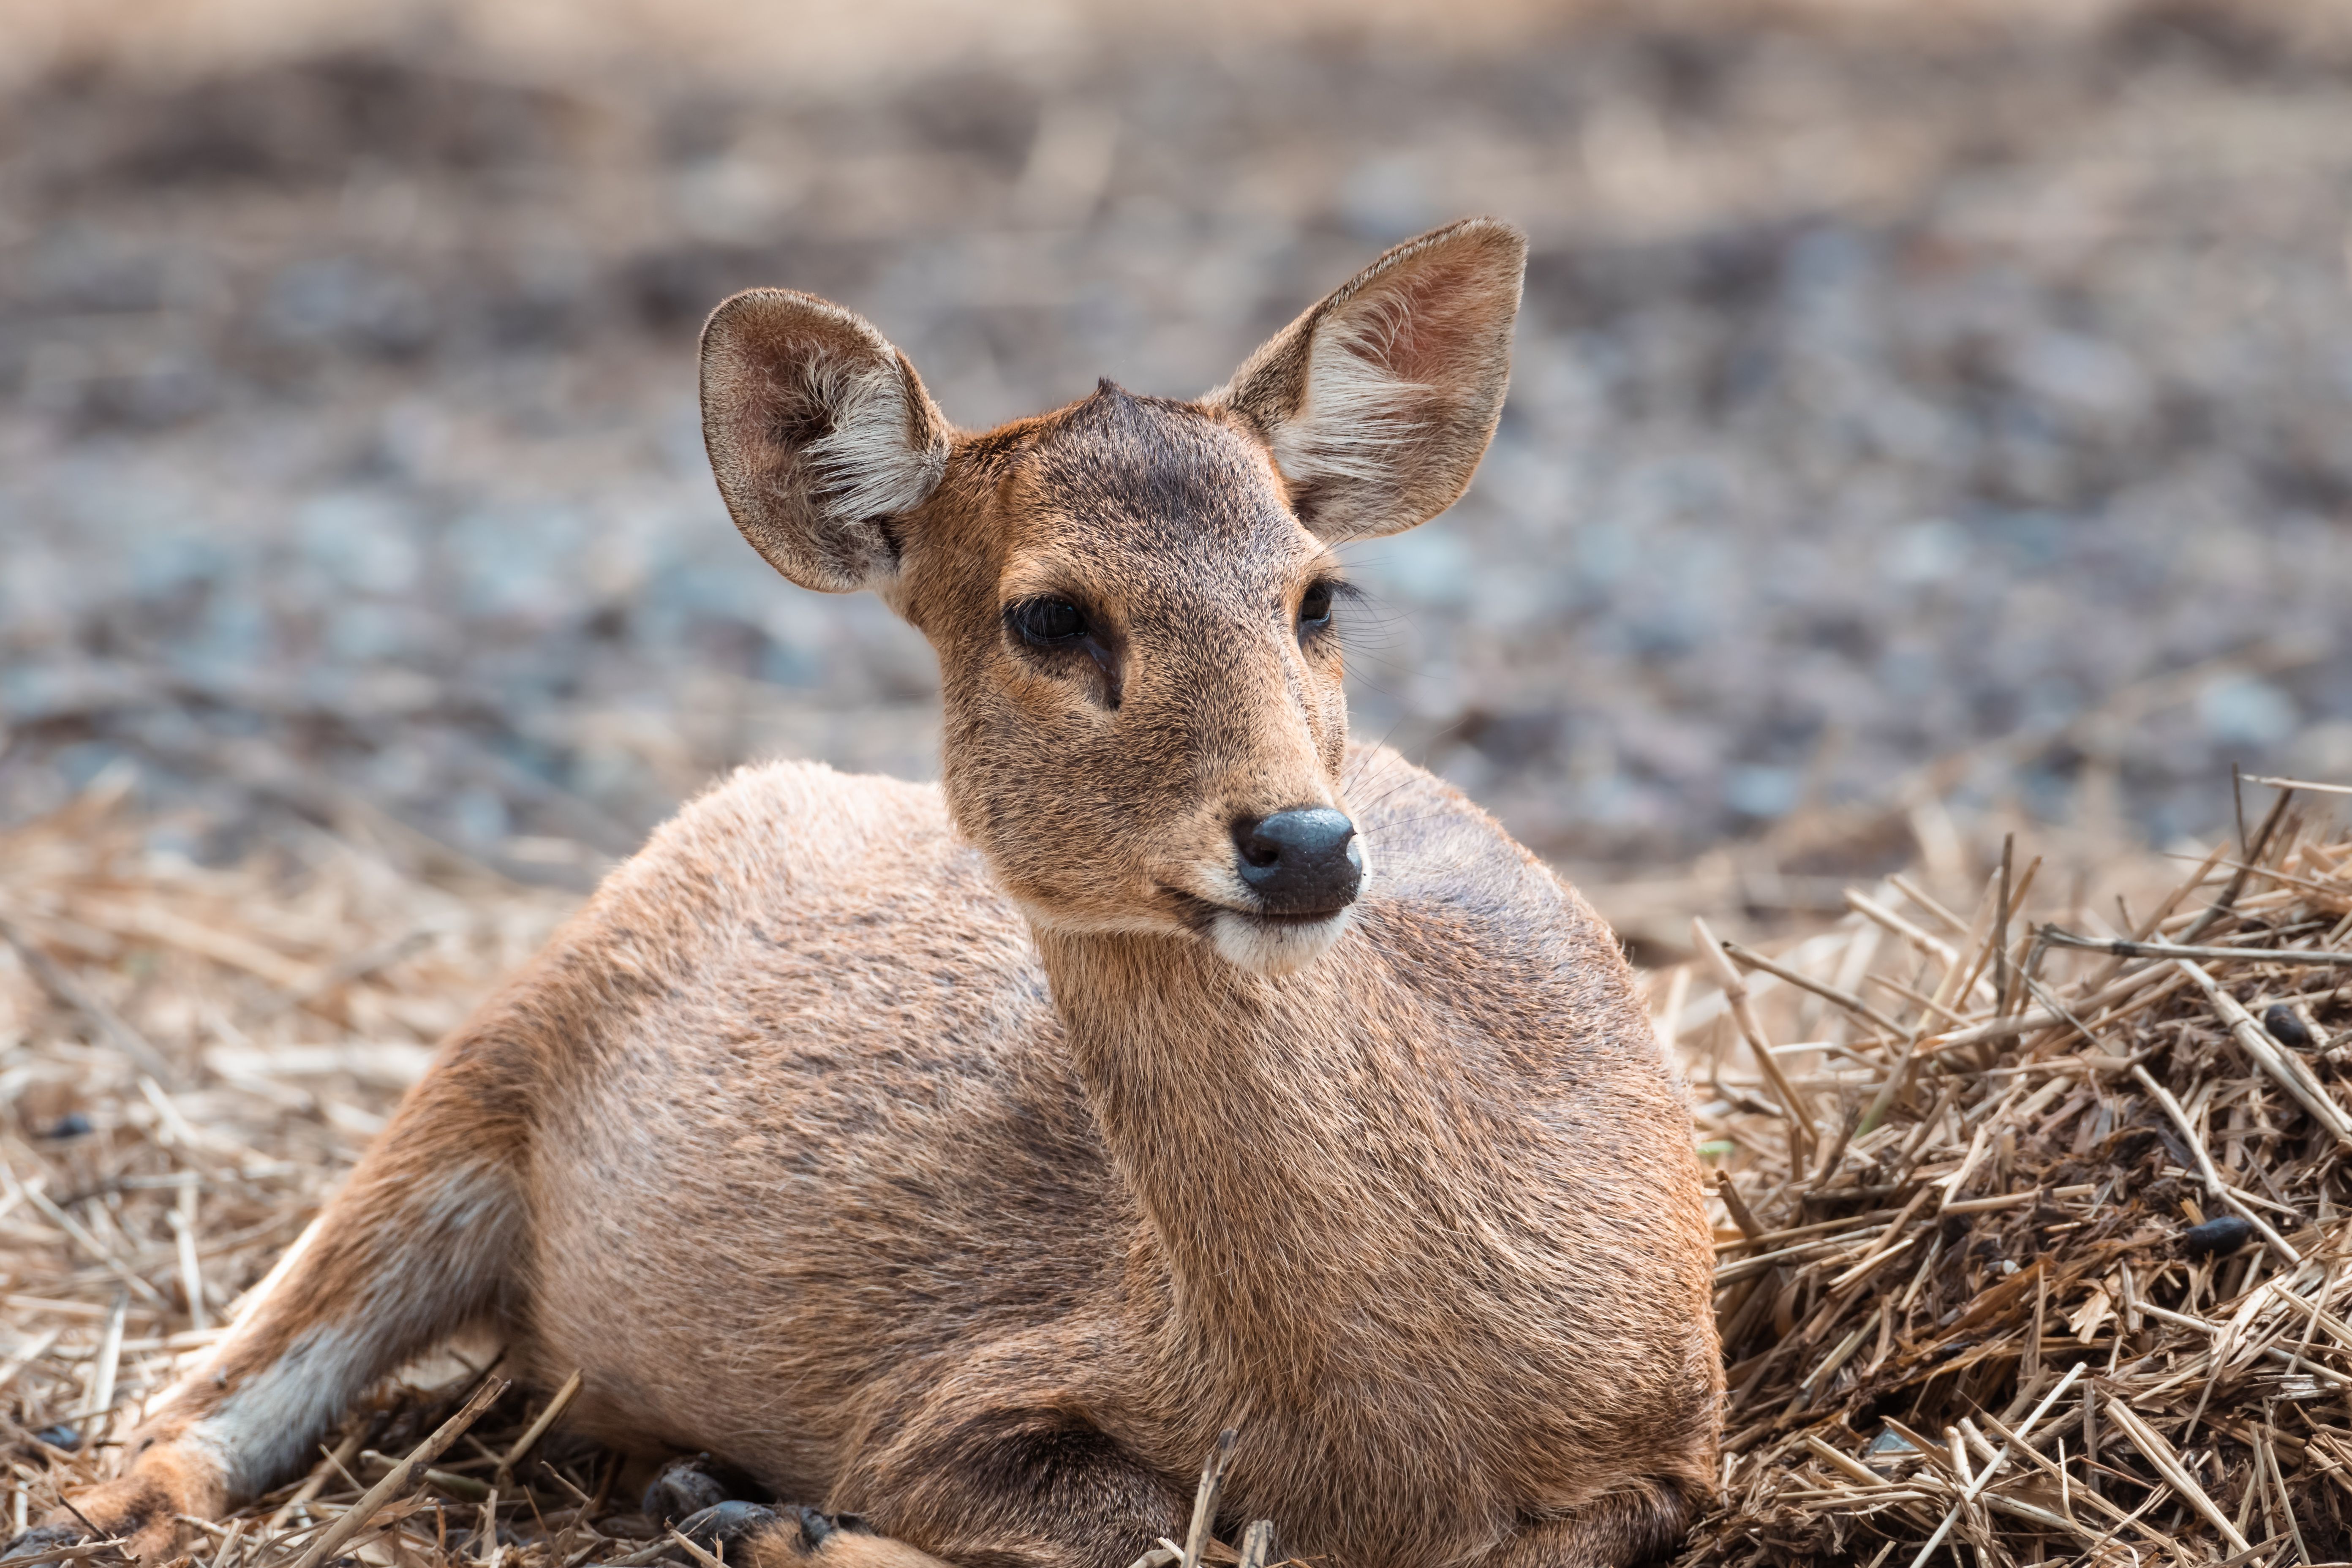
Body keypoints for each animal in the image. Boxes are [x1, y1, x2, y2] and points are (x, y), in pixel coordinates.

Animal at [10, 218, 1722, 1568]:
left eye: (1316, 593)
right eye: (1048, 615)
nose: (1302, 842)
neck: (1398, 1438)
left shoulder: (1685, 1424)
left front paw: (751, 1512)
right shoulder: (940, 1399)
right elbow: (1140, 1526)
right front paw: (776, 1518)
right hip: (485, 1058)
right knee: (220, 1378)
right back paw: (94, 1508)